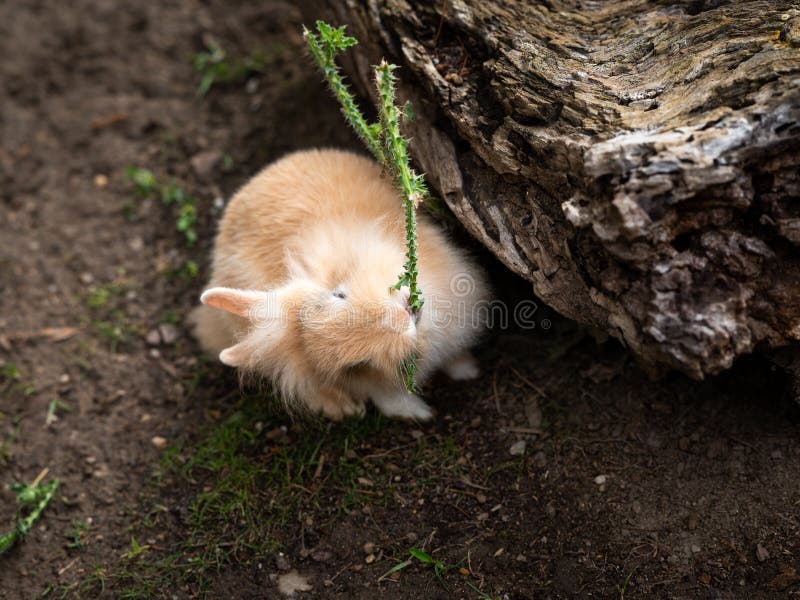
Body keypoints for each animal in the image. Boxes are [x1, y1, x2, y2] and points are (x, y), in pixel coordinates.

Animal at [191, 148, 489, 421]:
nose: (400, 320)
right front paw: (421, 414)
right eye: (357, 365)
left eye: (339, 294)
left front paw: (467, 371)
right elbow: (390, 398)